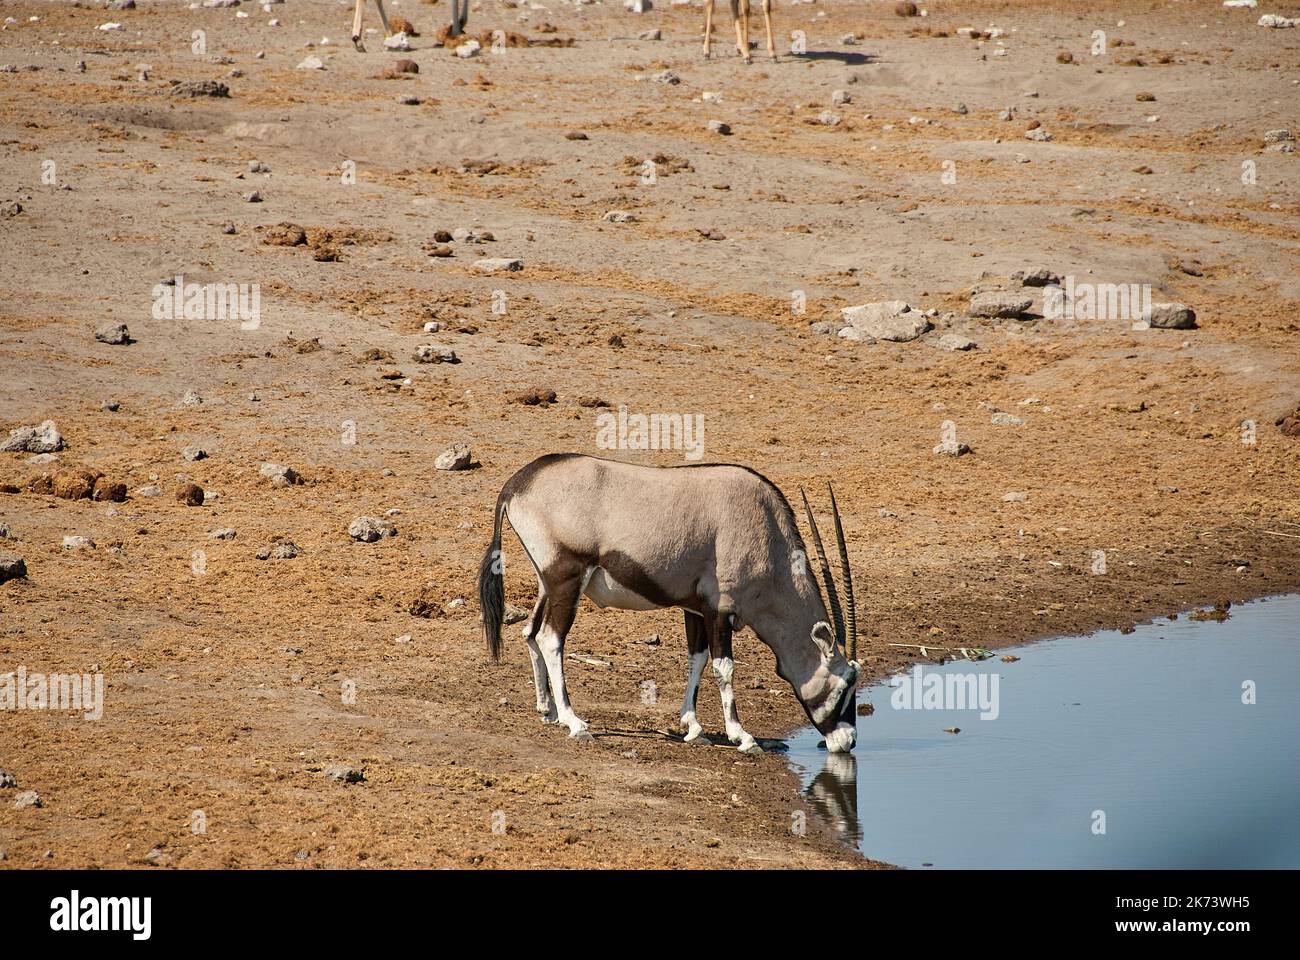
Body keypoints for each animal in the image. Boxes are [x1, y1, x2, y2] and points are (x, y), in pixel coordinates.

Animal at [478, 454, 860, 753]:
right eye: (845, 684)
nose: (848, 742)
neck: (768, 532)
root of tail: (517, 484)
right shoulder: (720, 609)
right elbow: (724, 668)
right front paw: (742, 736)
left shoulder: (696, 608)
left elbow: (698, 660)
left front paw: (693, 727)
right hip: (567, 580)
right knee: (550, 639)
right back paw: (574, 722)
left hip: (549, 584)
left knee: (531, 631)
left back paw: (549, 710)